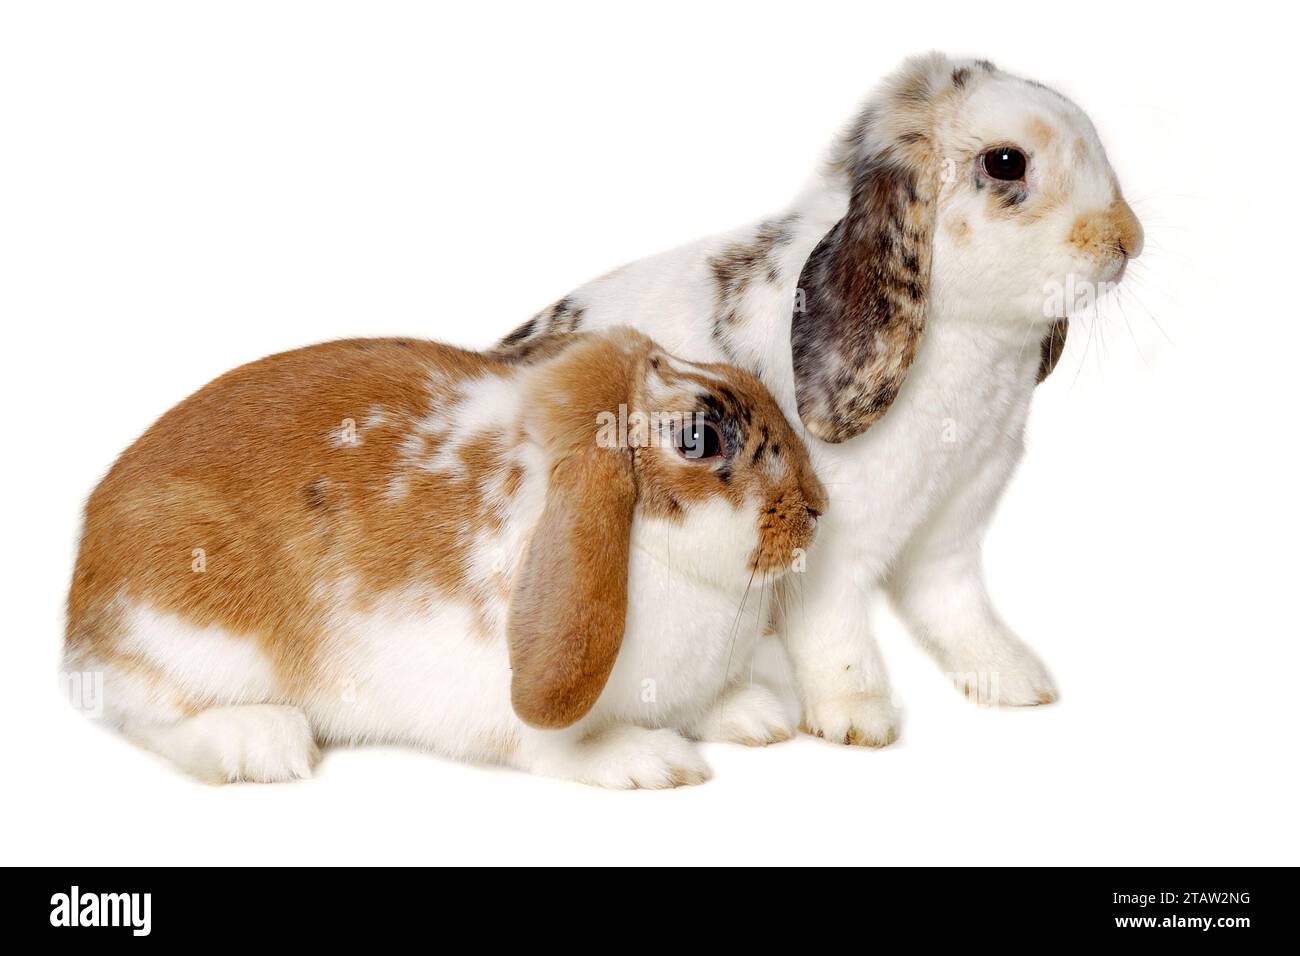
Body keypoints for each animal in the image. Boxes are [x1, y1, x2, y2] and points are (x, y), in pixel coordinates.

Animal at [64, 327, 827, 787]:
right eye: (699, 437)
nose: (818, 507)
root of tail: (80, 607)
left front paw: (757, 717)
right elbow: (561, 747)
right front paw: (652, 761)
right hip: (189, 633)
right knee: (150, 715)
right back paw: (266, 743)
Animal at [495, 54, 1143, 746]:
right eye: (1005, 163)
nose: (1126, 239)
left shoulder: (950, 532)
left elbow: (958, 608)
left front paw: (1014, 679)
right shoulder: (833, 552)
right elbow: (836, 632)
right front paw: (858, 717)